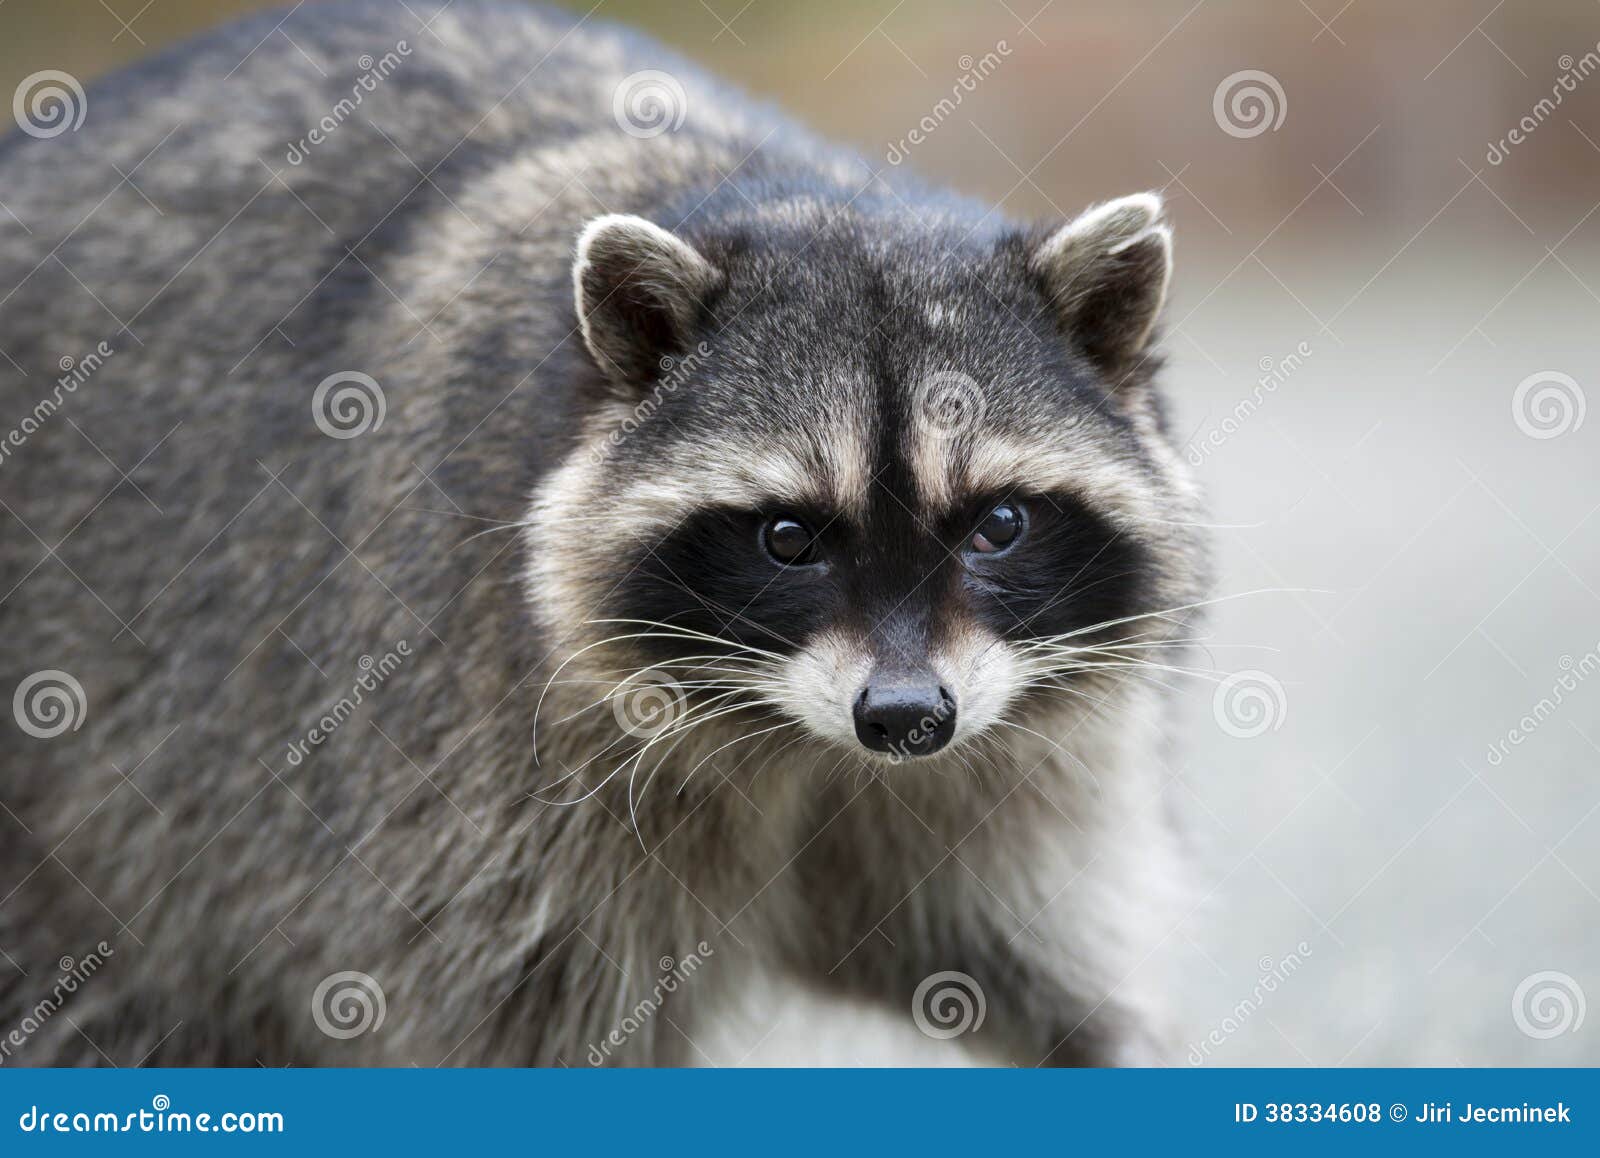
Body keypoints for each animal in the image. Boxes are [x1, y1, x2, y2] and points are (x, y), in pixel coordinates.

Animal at [0, 0, 1207, 1066]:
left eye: (997, 523)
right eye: (786, 538)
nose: (906, 718)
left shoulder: (1017, 774)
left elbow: (1040, 965)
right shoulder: (474, 762)